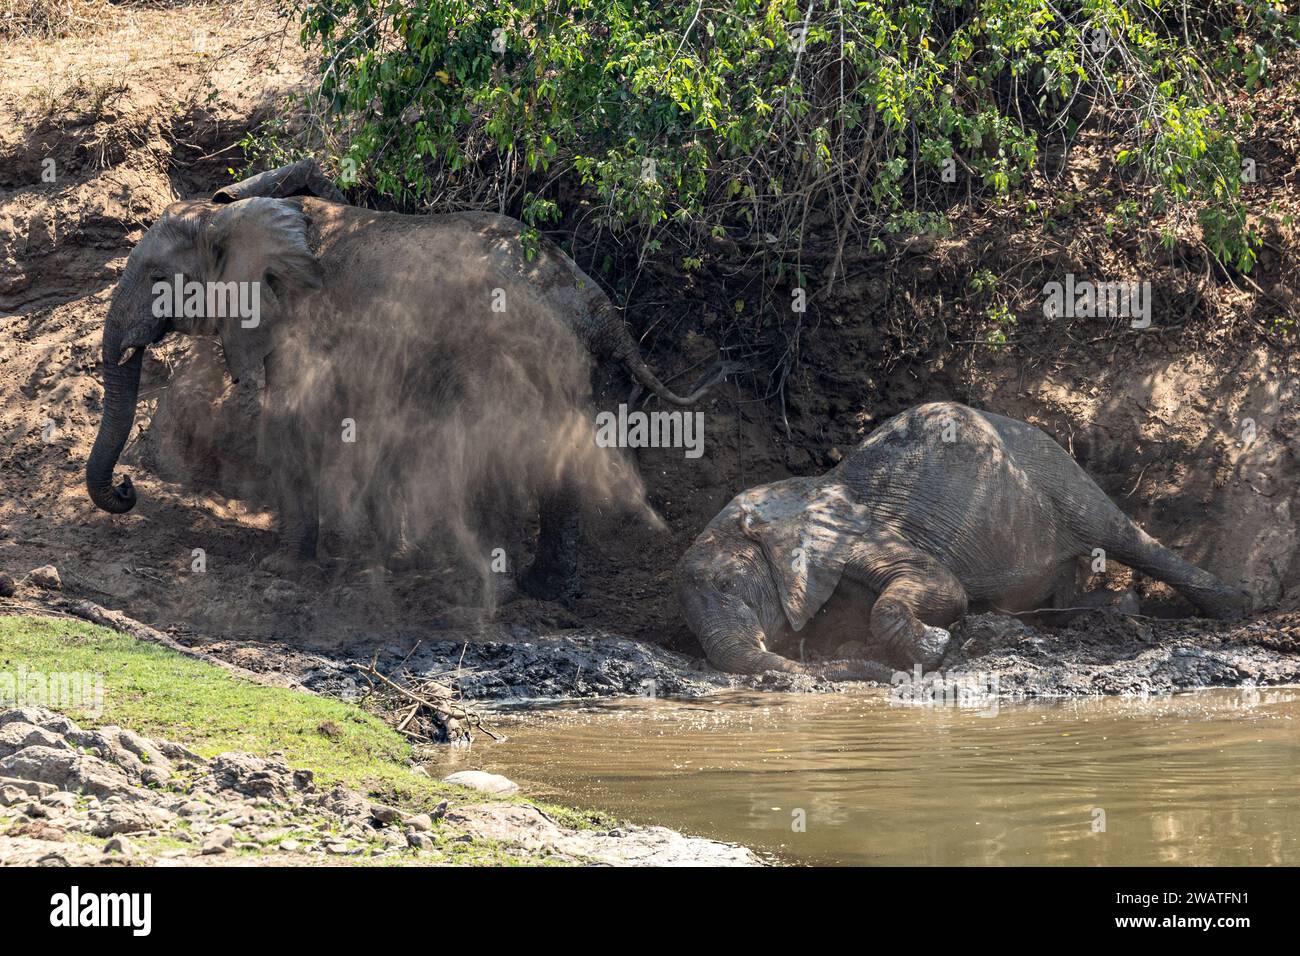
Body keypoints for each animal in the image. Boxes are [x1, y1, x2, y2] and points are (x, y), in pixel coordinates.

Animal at [86, 162, 716, 597]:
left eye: (158, 278)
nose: (128, 489)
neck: (233, 216)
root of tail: (596, 306)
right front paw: (382, 556)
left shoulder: (299, 320)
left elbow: (291, 420)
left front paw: (284, 566)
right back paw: (547, 594)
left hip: (502, 356)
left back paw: (483, 586)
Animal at [676, 402, 1249, 675]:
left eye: (728, 585)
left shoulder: (860, 534)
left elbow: (941, 584)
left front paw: (936, 646)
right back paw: (1114, 610)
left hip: (1057, 473)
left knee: (1120, 533)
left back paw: (1236, 608)